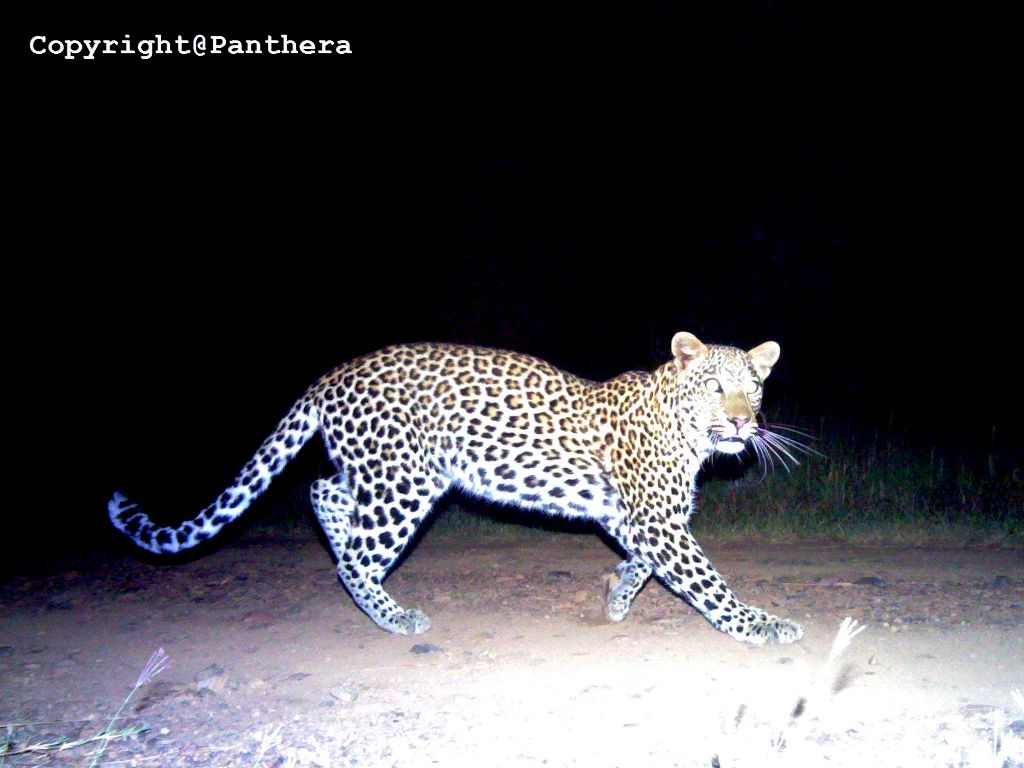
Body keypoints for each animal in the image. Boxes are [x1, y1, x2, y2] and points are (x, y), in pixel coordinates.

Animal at [109, 332, 804, 645]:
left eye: (753, 387)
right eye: (714, 386)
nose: (742, 422)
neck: (684, 430)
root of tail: (331, 375)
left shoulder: (632, 516)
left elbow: (641, 563)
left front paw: (614, 598)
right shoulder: (656, 518)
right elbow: (705, 579)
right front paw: (760, 624)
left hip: (379, 472)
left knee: (323, 493)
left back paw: (345, 551)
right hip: (403, 482)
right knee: (354, 553)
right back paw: (392, 614)